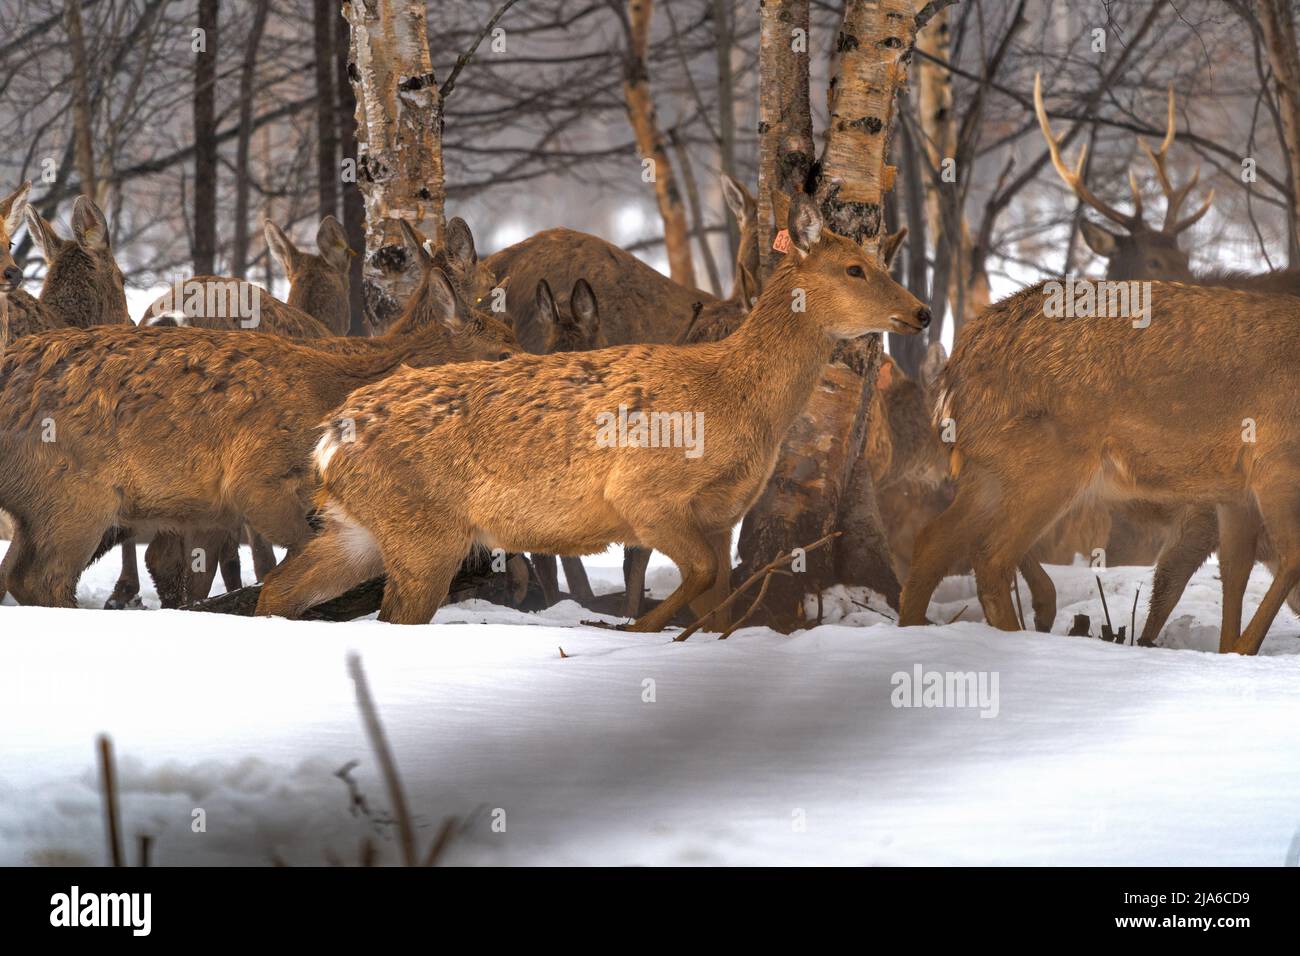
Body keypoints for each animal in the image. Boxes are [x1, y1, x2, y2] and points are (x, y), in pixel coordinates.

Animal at [253, 194, 930, 628]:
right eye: (854, 267)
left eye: (881, 262)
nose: (921, 312)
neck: (734, 396)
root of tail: (331, 436)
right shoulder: (644, 493)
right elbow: (695, 577)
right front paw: (638, 630)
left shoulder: (719, 516)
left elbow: (717, 600)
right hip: (424, 530)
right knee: (390, 615)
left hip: (358, 528)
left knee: (279, 593)